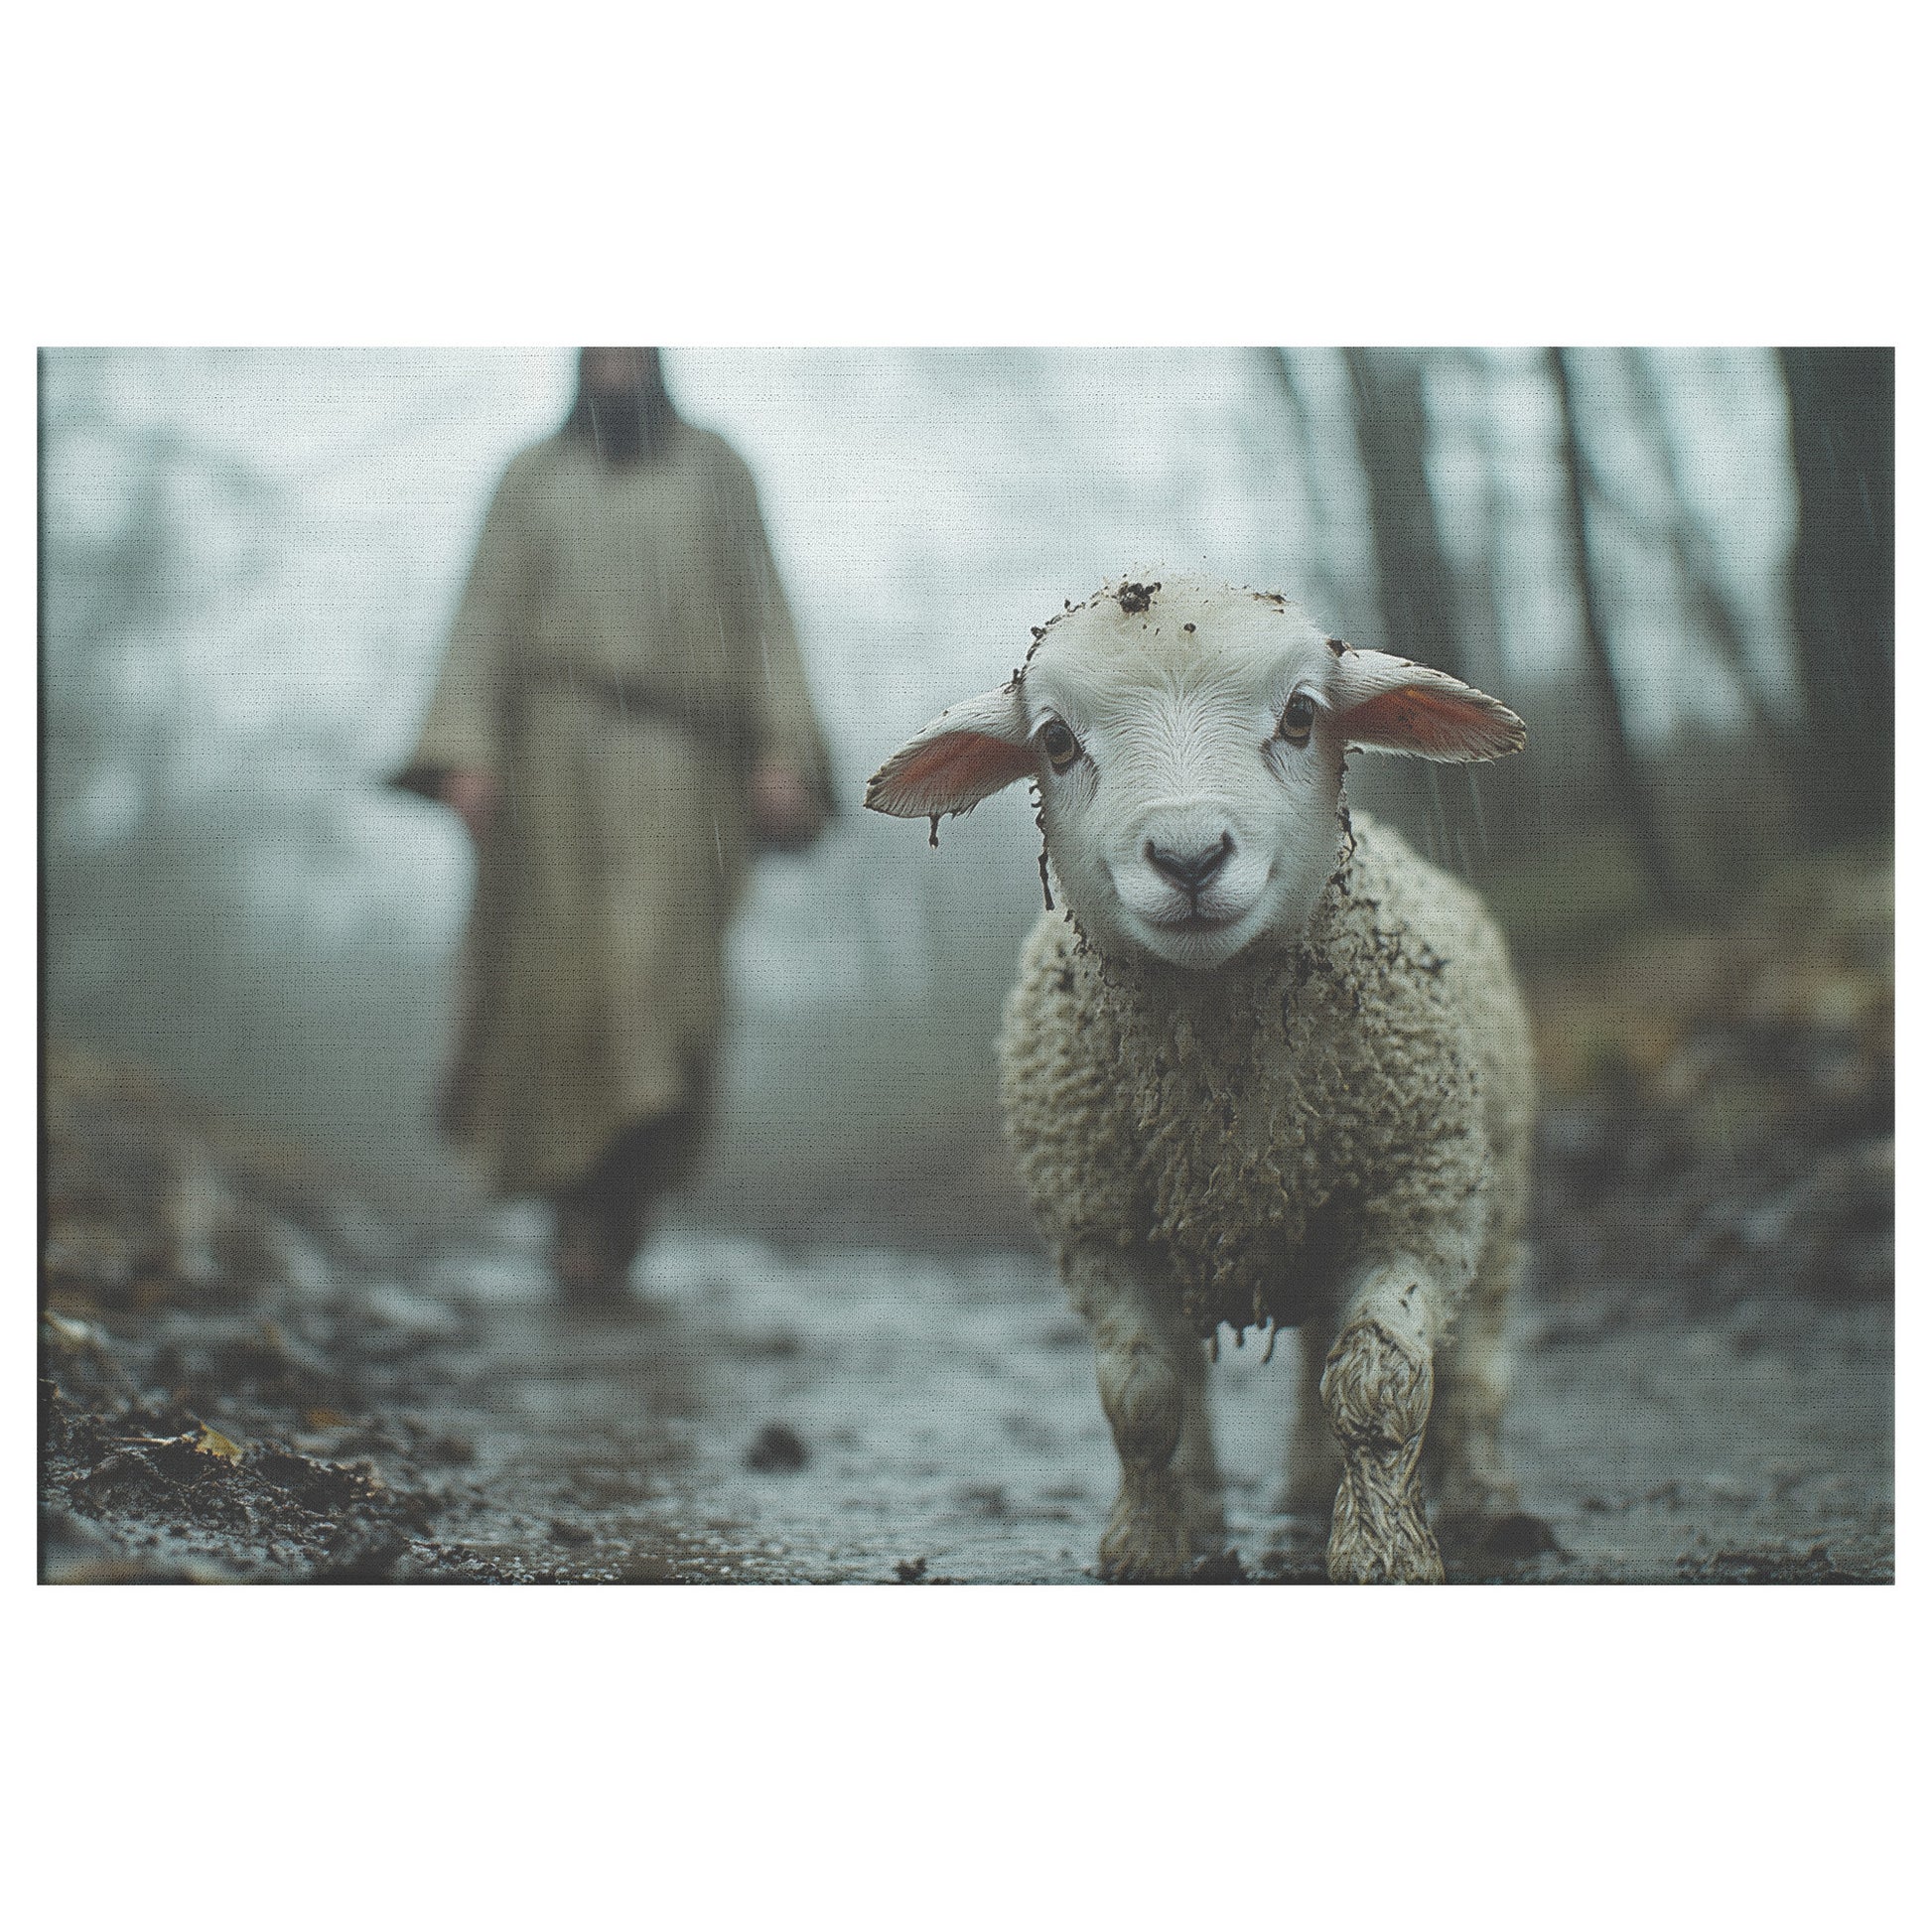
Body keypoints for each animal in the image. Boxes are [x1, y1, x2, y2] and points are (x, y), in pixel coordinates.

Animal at [865, 574, 1536, 1583]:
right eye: (1056, 741)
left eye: (1302, 715)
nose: (1188, 859)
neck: (1225, 1096)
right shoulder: (1102, 1225)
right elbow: (1143, 1397)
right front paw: (1146, 1545)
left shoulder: (1416, 1202)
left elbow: (1377, 1384)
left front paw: (1382, 1553)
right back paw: (1237, 1505)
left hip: (1496, 1185)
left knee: (1480, 1357)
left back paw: (1485, 1500)